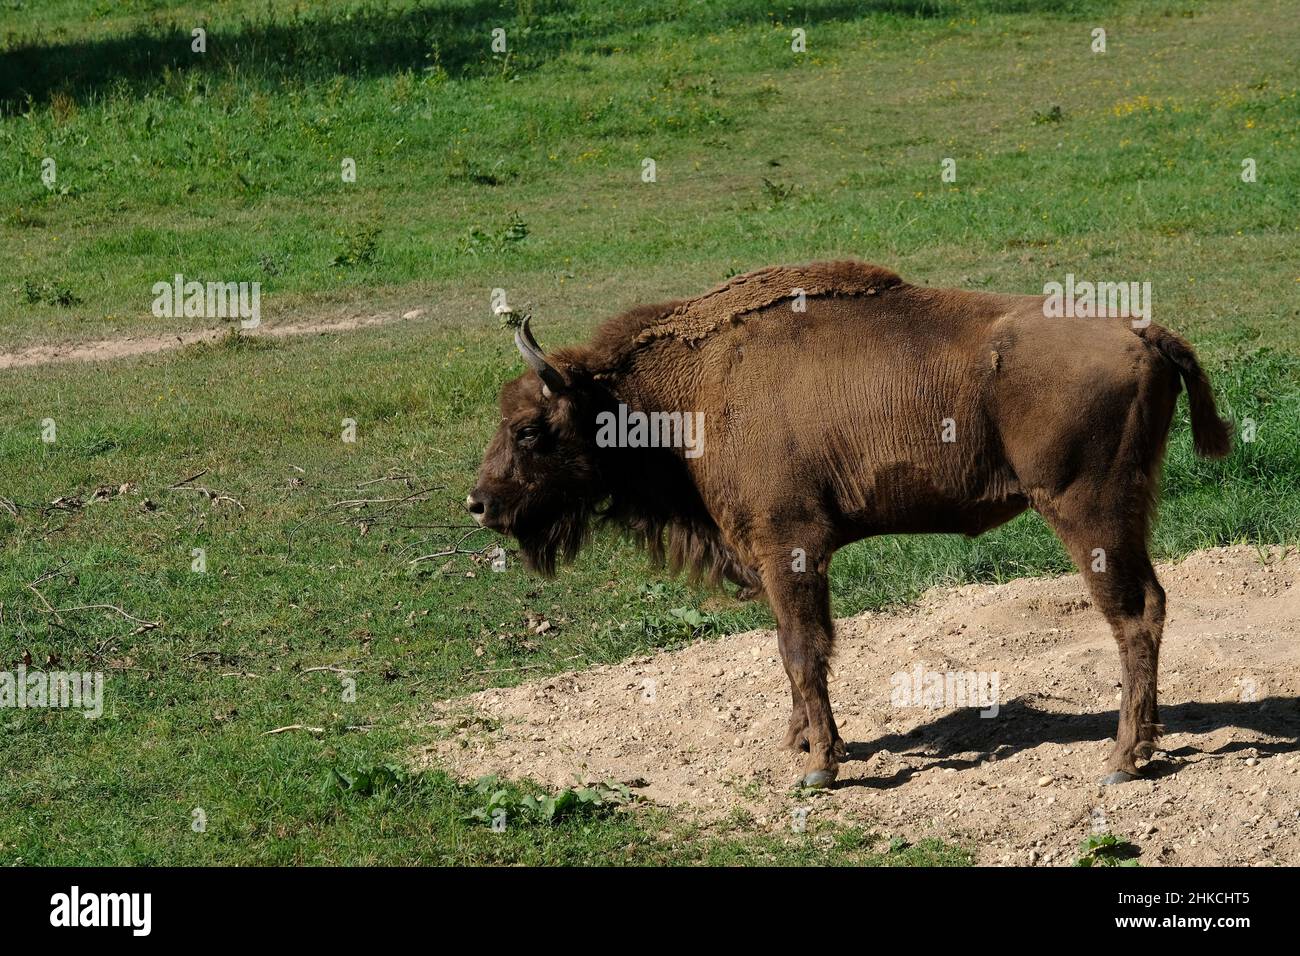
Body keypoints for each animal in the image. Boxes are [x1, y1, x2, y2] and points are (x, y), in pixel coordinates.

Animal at [469, 261, 1230, 788]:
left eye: (531, 428)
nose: (480, 503)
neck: (686, 392)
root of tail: (1142, 332)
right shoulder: (780, 559)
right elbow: (791, 649)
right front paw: (801, 741)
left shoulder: (790, 549)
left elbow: (802, 650)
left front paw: (820, 767)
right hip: (1126, 514)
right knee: (1152, 604)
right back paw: (1142, 746)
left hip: (1087, 516)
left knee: (1132, 616)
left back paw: (1123, 760)